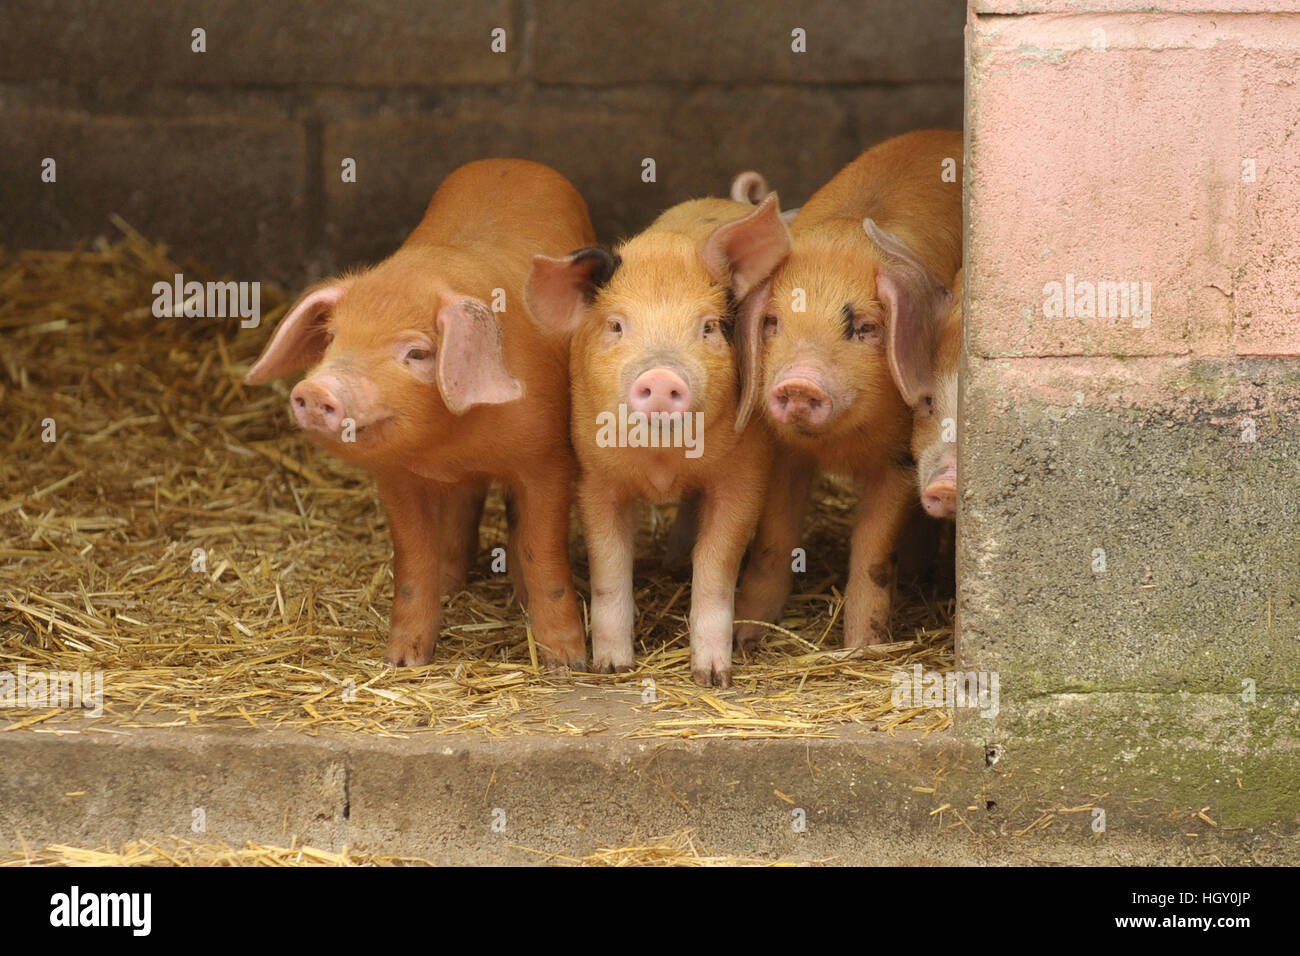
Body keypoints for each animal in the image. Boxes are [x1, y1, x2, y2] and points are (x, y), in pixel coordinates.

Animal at [243, 159, 597, 669]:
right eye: (332, 338)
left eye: (416, 353)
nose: (315, 389)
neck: (451, 443)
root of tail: (512, 161)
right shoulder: (396, 477)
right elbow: (412, 561)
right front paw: (403, 661)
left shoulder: (547, 461)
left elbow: (541, 551)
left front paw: (567, 663)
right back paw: (453, 581)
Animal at [526, 195, 791, 687]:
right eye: (616, 326)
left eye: (709, 327)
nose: (663, 377)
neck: (664, 464)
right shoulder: (595, 478)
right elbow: (610, 567)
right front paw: (611, 667)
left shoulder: (744, 474)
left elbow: (715, 567)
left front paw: (713, 677)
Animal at [732, 129, 962, 649]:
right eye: (773, 322)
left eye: (865, 327)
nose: (800, 381)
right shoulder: (783, 450)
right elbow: (774, 541)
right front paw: (747, 638)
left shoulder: (900, 460)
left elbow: (873, 555)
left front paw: (861, 650)